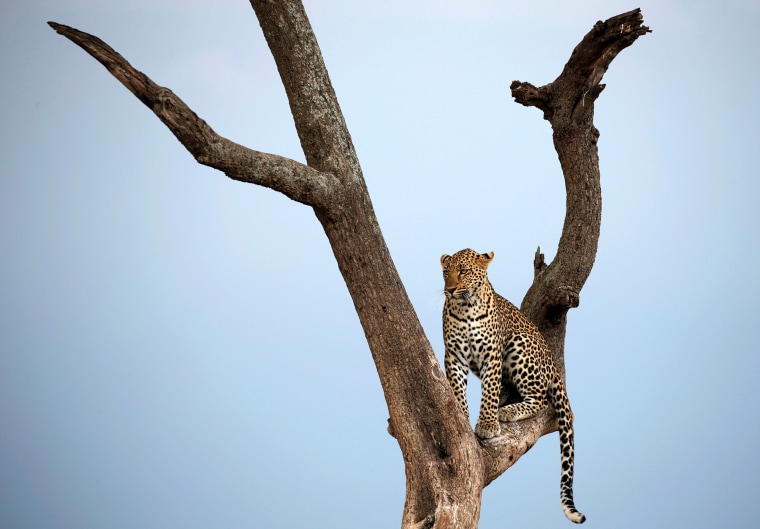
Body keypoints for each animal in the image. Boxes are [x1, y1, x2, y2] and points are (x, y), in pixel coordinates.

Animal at [441, 248, 585, 524]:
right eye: (445, 273)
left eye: (463, 271)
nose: (450, 290)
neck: (465, 308)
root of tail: (552, 362)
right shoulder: (453, 356)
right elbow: (456, 389)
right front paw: (462, 416)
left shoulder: (492, 354)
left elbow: (488, 390)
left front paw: (487, 424)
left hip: (520, 345)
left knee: (541, 399)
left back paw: (507, 410)